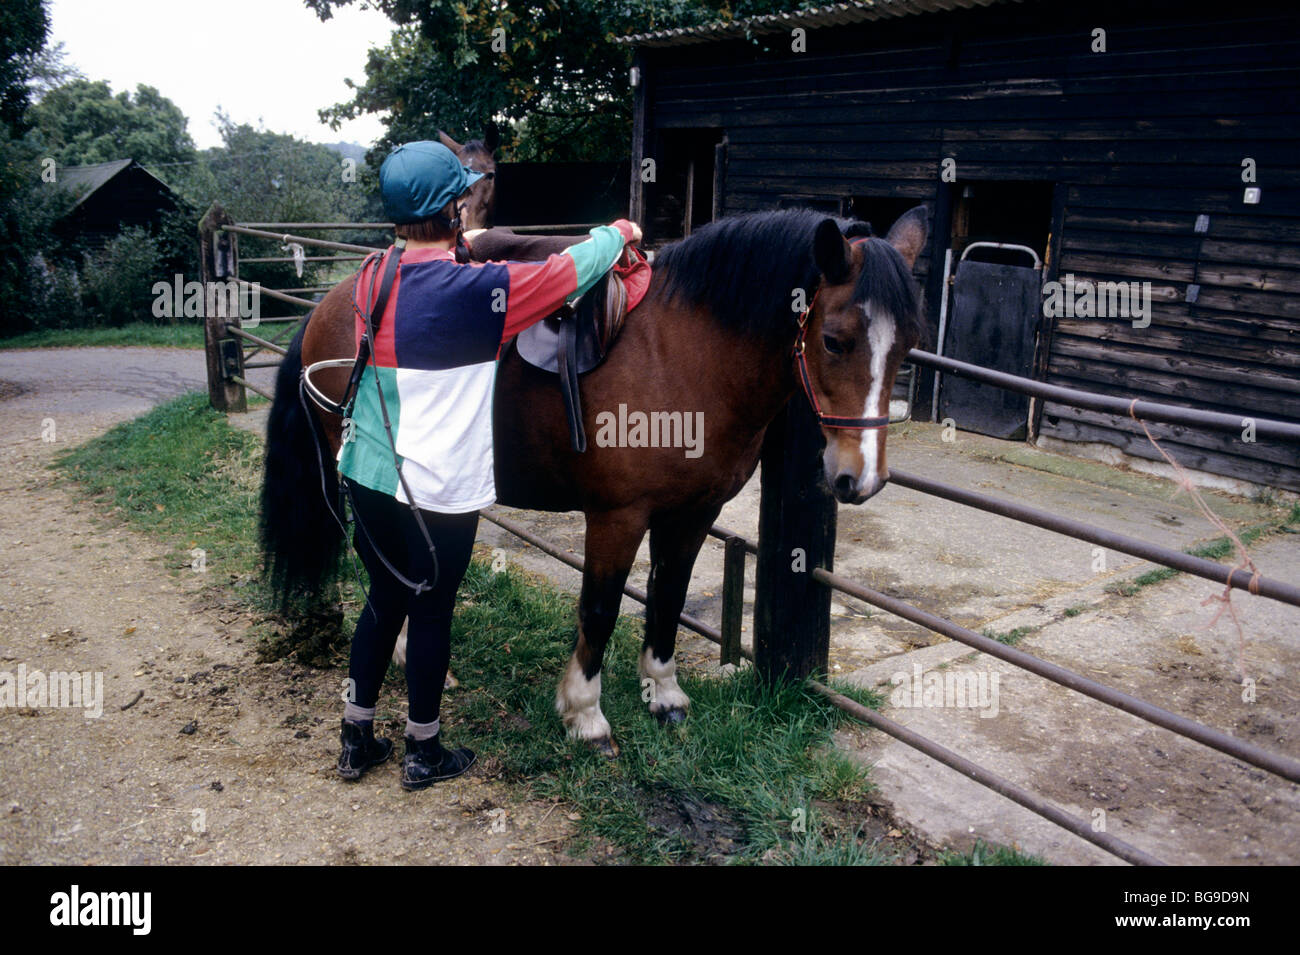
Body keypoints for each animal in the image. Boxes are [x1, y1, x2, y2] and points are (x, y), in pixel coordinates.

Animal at [259, 206, 929, 756]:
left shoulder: (695, 512)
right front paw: (585, 715)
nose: (861, 478)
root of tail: (326, 310)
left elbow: (669, 597)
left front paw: (664, 694)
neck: (685, 354)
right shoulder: (618, 516)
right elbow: (601, 608)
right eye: (834, 341)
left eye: (908, 349)